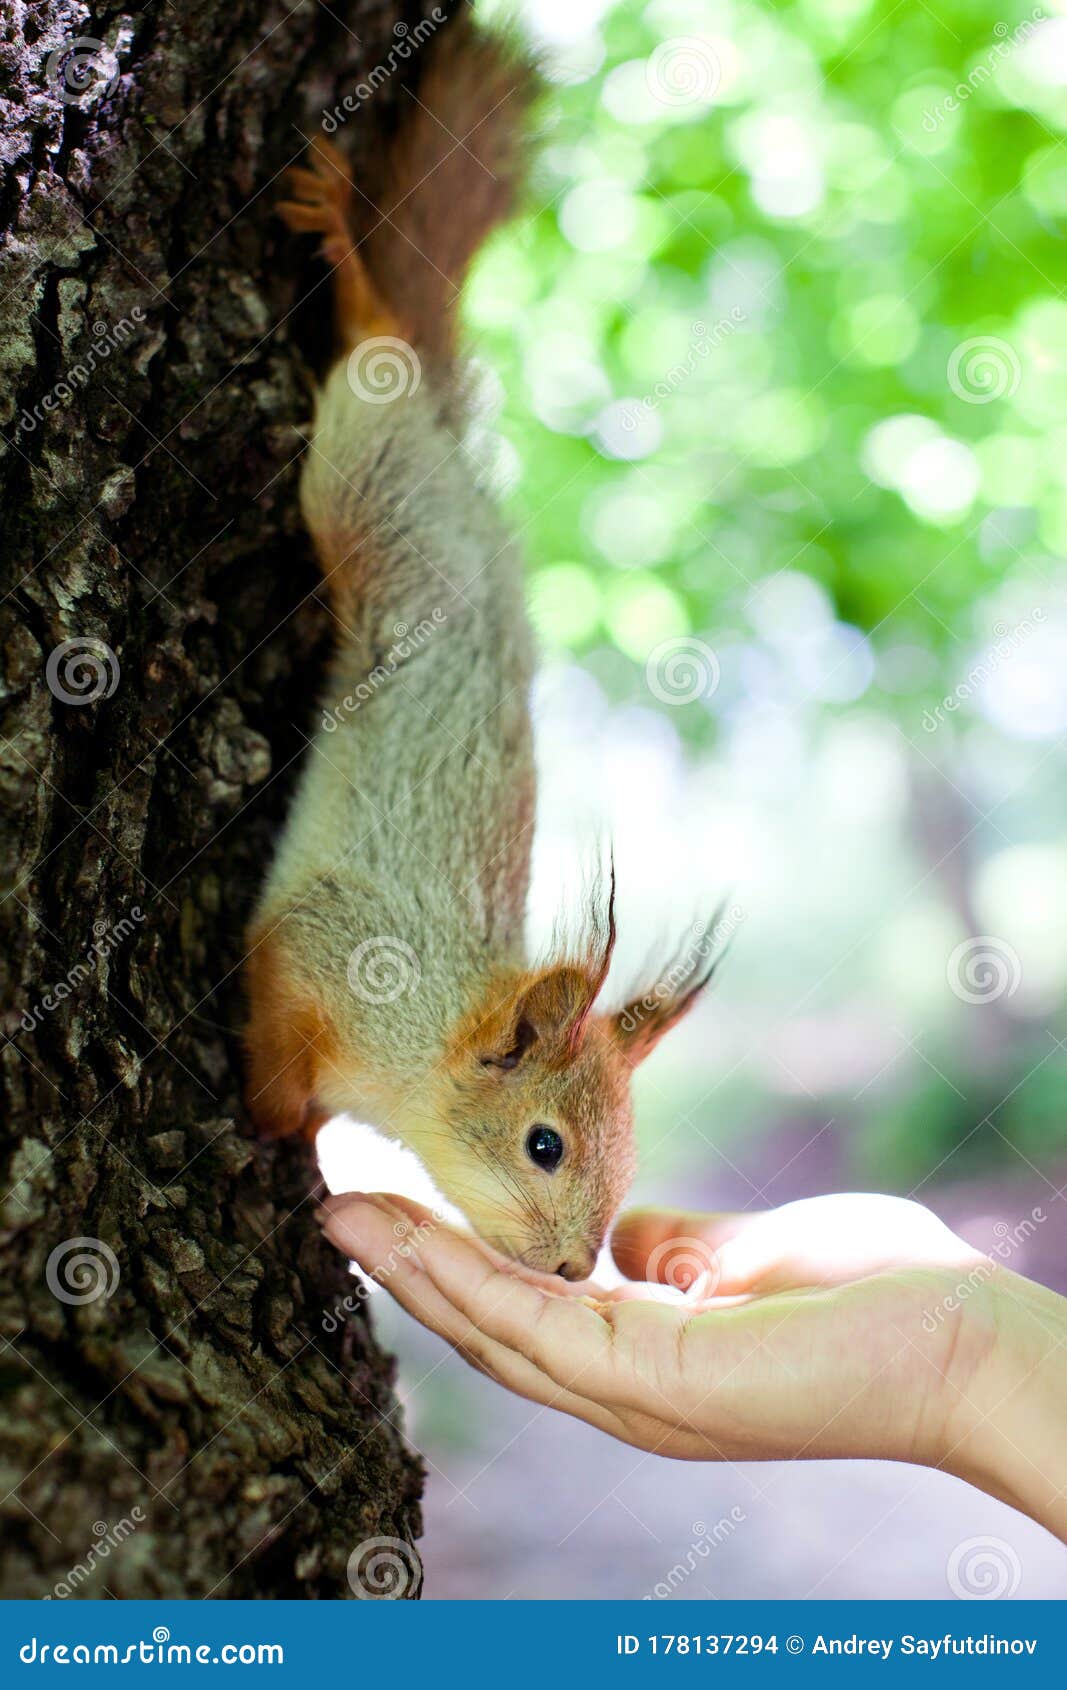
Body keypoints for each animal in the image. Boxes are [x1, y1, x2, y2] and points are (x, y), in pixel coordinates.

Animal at [244, 10, 719, 1280]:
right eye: (543, 1145)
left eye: (629, 1158)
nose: (569, 1270)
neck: (426, 1039)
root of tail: (464, 487)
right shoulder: (325, 949)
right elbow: (274, 1019)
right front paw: (277, 1125)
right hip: (362, 481)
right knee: (378, 360)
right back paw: (350, 258)